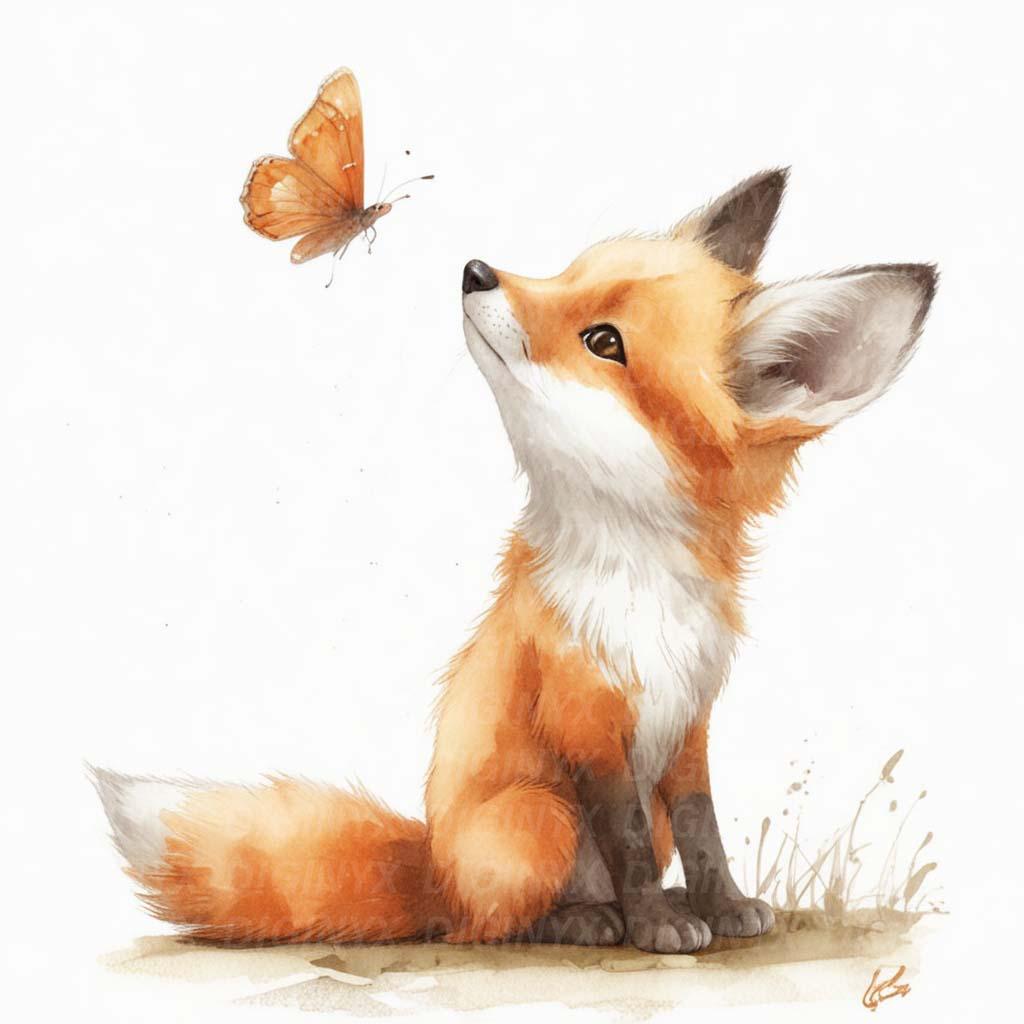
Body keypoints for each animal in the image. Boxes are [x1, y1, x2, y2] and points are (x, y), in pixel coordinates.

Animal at [93, 169, 936, 954]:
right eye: (569, 271)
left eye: (604, 341)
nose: (475, 270)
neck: (639, 591)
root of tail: (435, 866)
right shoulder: (584, 718)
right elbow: (629, 842)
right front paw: (658, 926)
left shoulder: (689, 721)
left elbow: (702, 830)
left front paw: (721, 907)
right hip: (542, 815)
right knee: (491, 926)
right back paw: (586, 921)